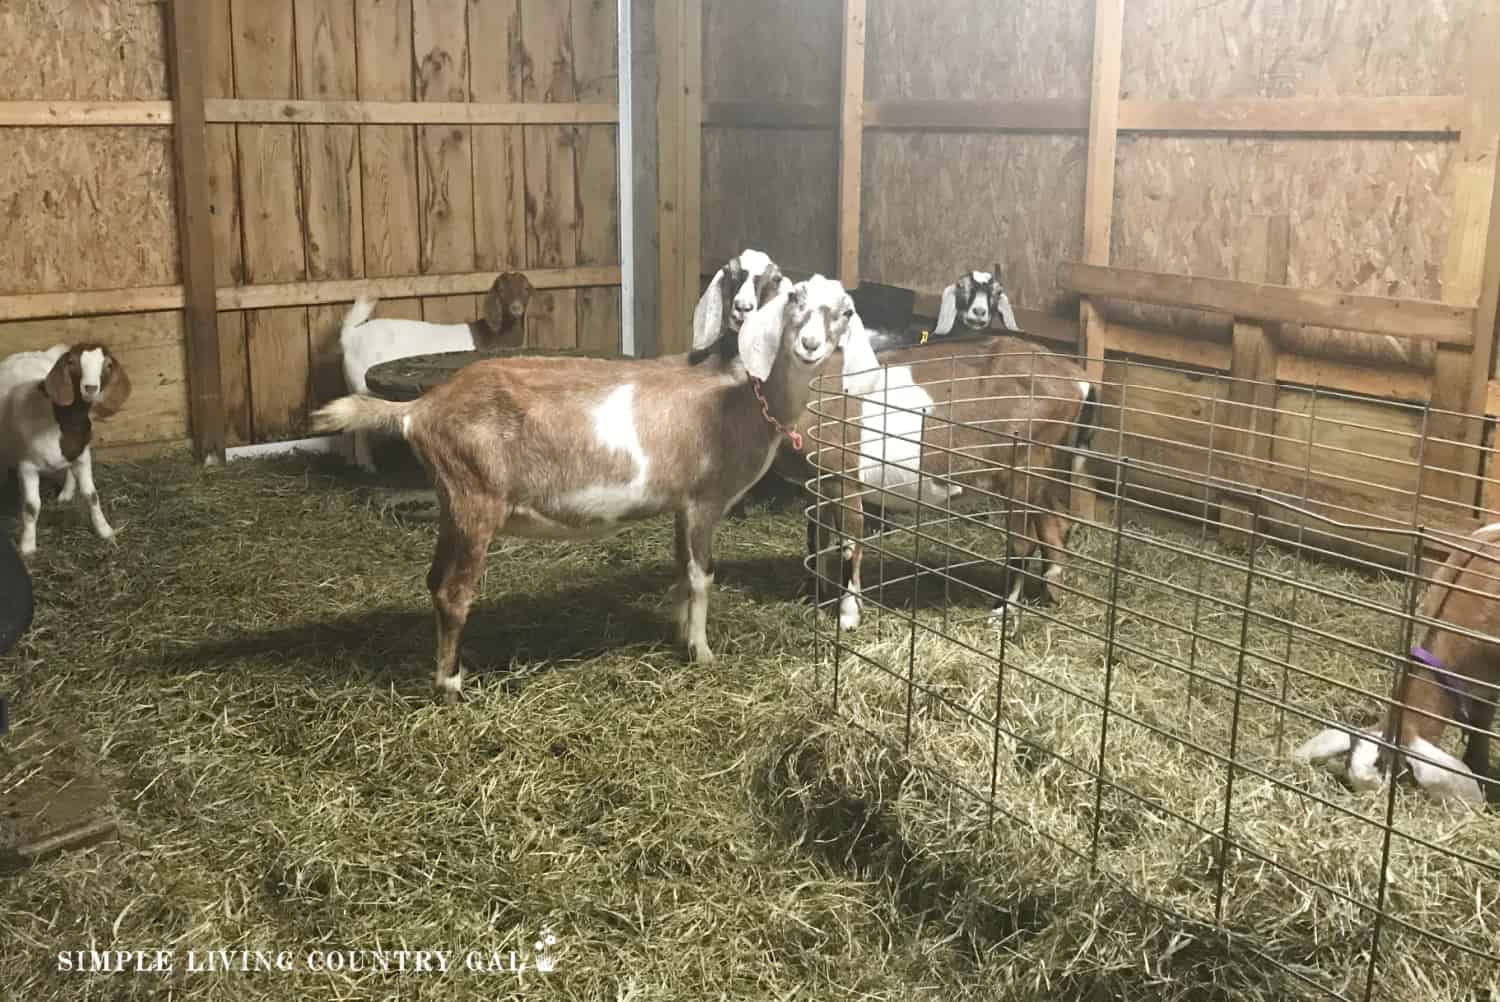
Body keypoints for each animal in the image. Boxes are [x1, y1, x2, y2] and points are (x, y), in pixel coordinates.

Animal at [0, 343, 132, 557]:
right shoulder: (27, 466)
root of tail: (30, 353)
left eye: (108, 365)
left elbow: (91, 496)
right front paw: (27, 546)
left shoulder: (83, 455)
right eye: (71, 362)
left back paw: (66, 494)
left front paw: (105, 530)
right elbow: (31, 506)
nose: (90, 388)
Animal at [338, 272, 534, 471]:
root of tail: (350, 335)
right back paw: (367, 465)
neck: (492, 336)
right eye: (500, 290)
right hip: (361, 382)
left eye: (526, 288)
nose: (516, 308)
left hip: (350, 382)